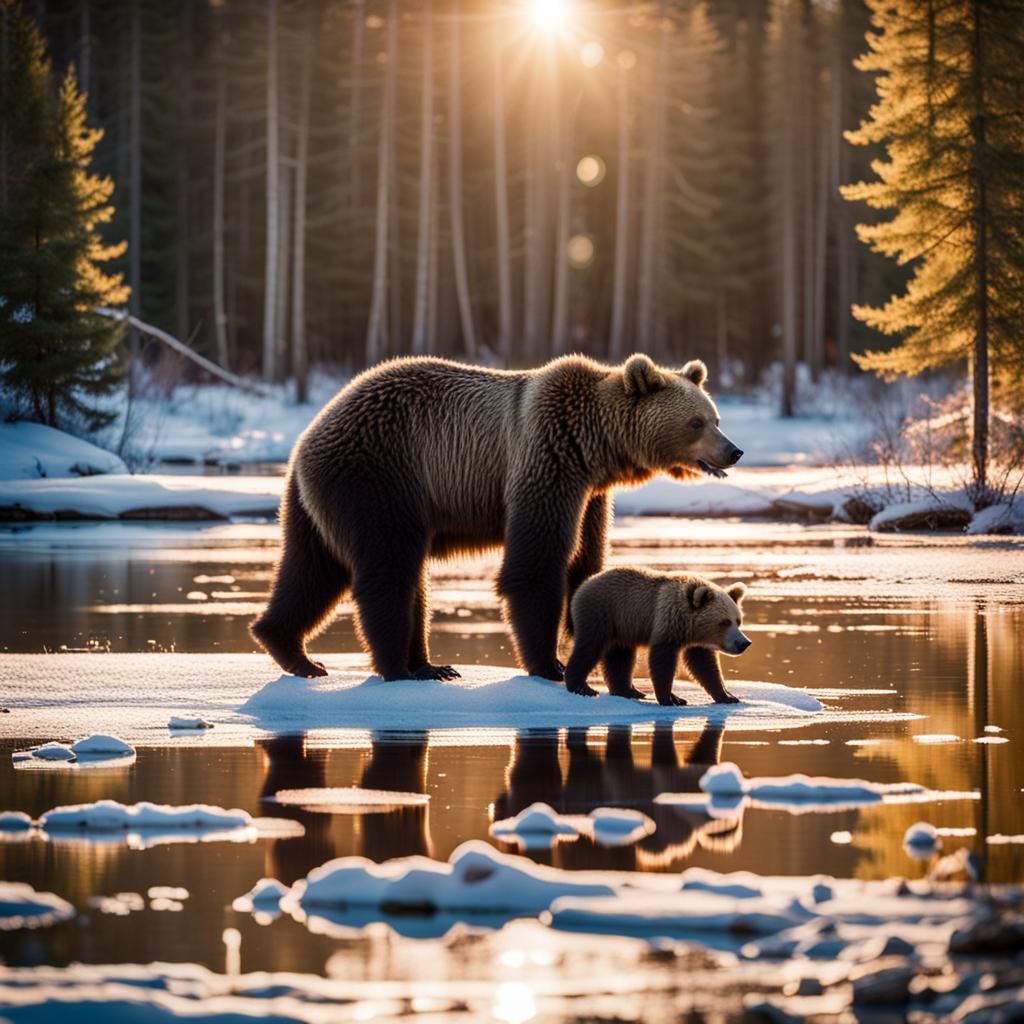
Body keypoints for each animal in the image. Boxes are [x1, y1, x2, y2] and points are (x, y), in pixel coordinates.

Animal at [250, 353, 744, 684]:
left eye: (716, 417)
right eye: (697, 422)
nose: (734, 450)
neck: (595, 447)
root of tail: (310, 431)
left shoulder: (591, 495)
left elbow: (586, 561)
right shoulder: (547, 459)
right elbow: (536, 563)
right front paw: (549, 663)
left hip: (315, 503)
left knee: (312, 569)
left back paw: (299, 651)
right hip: (380, 478)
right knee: (388, 569)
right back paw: (399, 668)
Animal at [564, 567, 751, 705]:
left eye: (738, 621)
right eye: (724, 622)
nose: (743, 643)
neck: (688, 626)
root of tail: (586, 582)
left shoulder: (695, 641)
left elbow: (705, 666)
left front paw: (728, 696)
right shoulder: (667, 624)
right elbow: (663, 661)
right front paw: (672, 698)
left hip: (622, 625)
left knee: (620, 657)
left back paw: (629, 691)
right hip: (601, 612)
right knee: (590, 647)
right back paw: (582, 687)